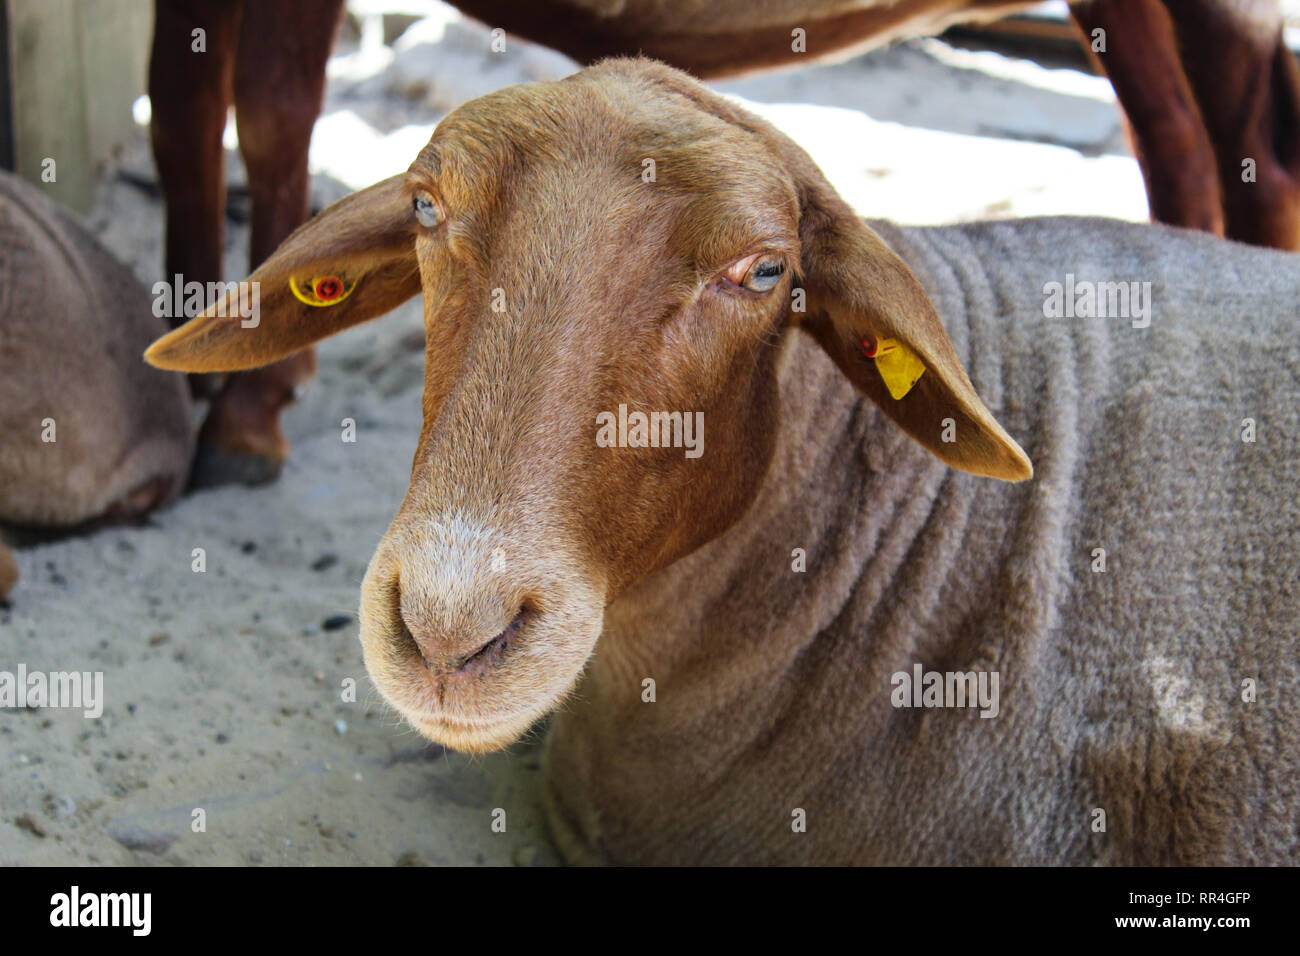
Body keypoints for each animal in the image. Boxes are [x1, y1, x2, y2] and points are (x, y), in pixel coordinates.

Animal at [150, 0, 1300, 485]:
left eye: (763, 269)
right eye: (425, 211)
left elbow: (269, 108)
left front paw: (246, 418)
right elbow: (179, 96)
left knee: (1255, 145)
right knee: (1180, 142)